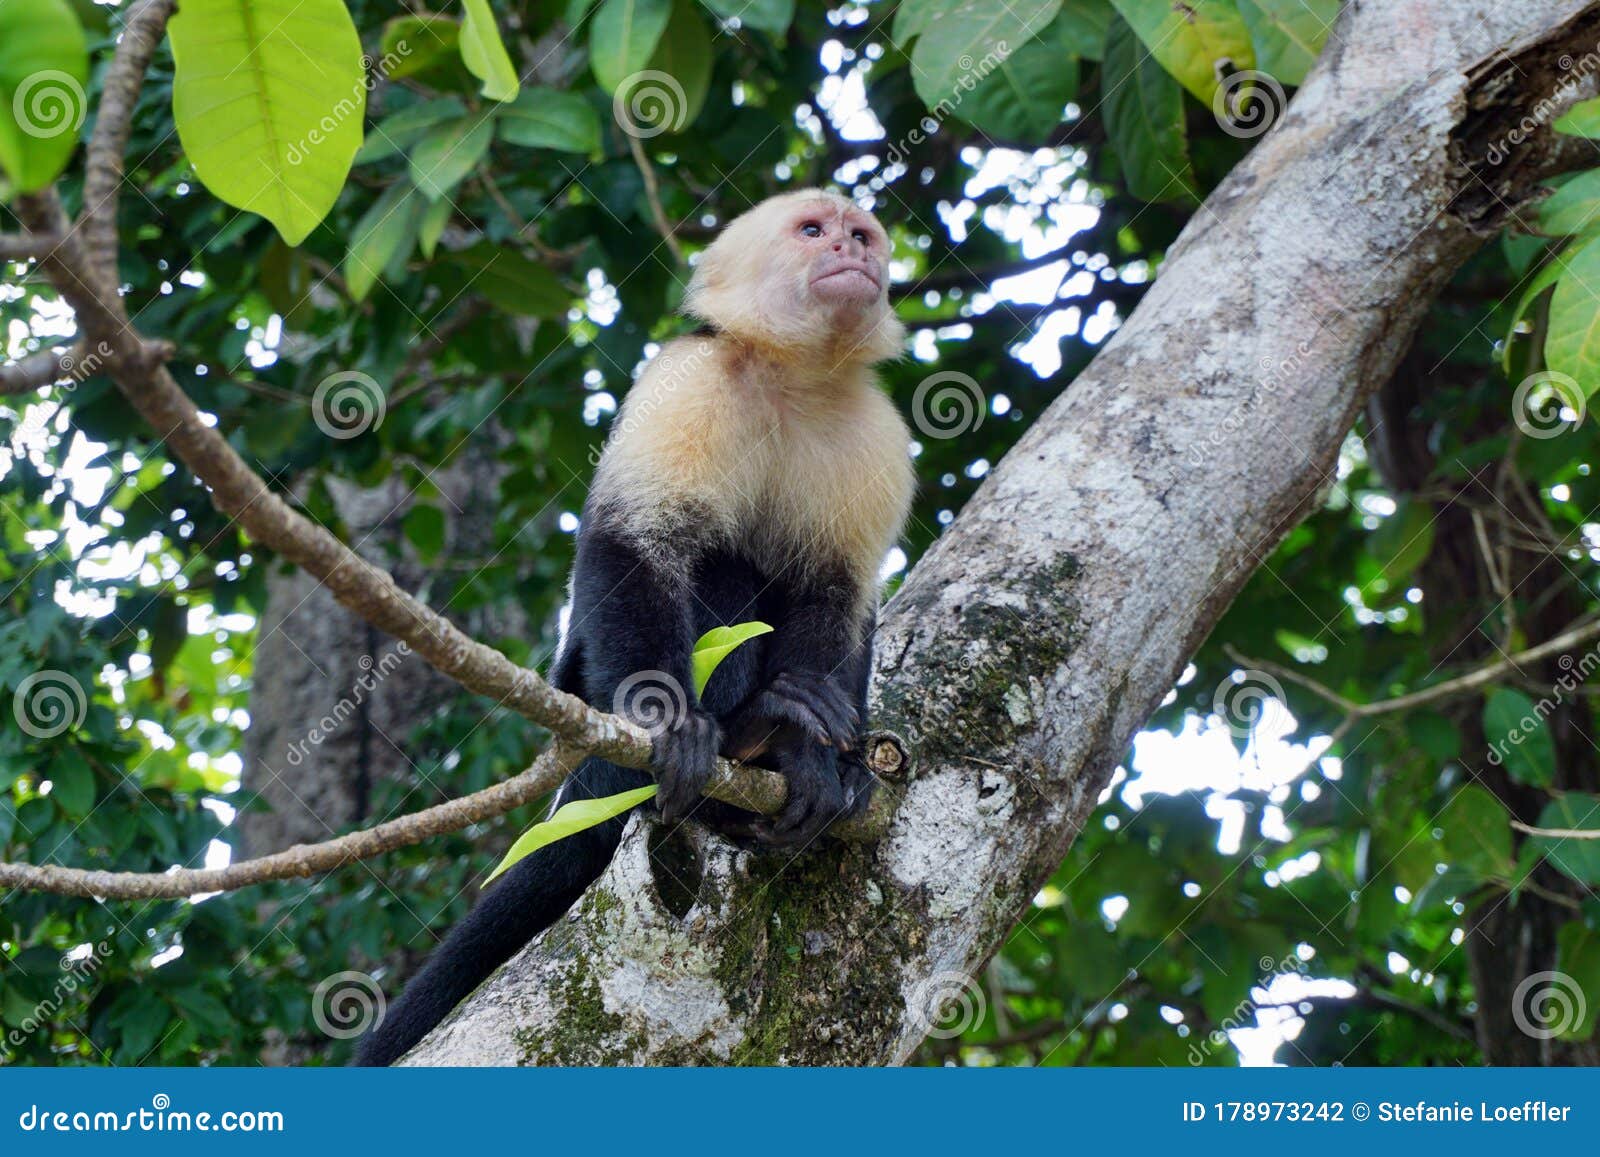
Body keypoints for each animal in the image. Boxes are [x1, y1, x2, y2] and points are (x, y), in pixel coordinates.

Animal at [354, 190, 913, 1066]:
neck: (793, 375)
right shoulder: (689, 380)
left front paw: (812, 753)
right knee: (717, 568)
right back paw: (740, 739)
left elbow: (839, 594)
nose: (852, 253)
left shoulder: (875, 433)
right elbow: (635, 545)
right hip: (592, 708)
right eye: (813, 232)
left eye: (862, 236)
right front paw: (685, 721)